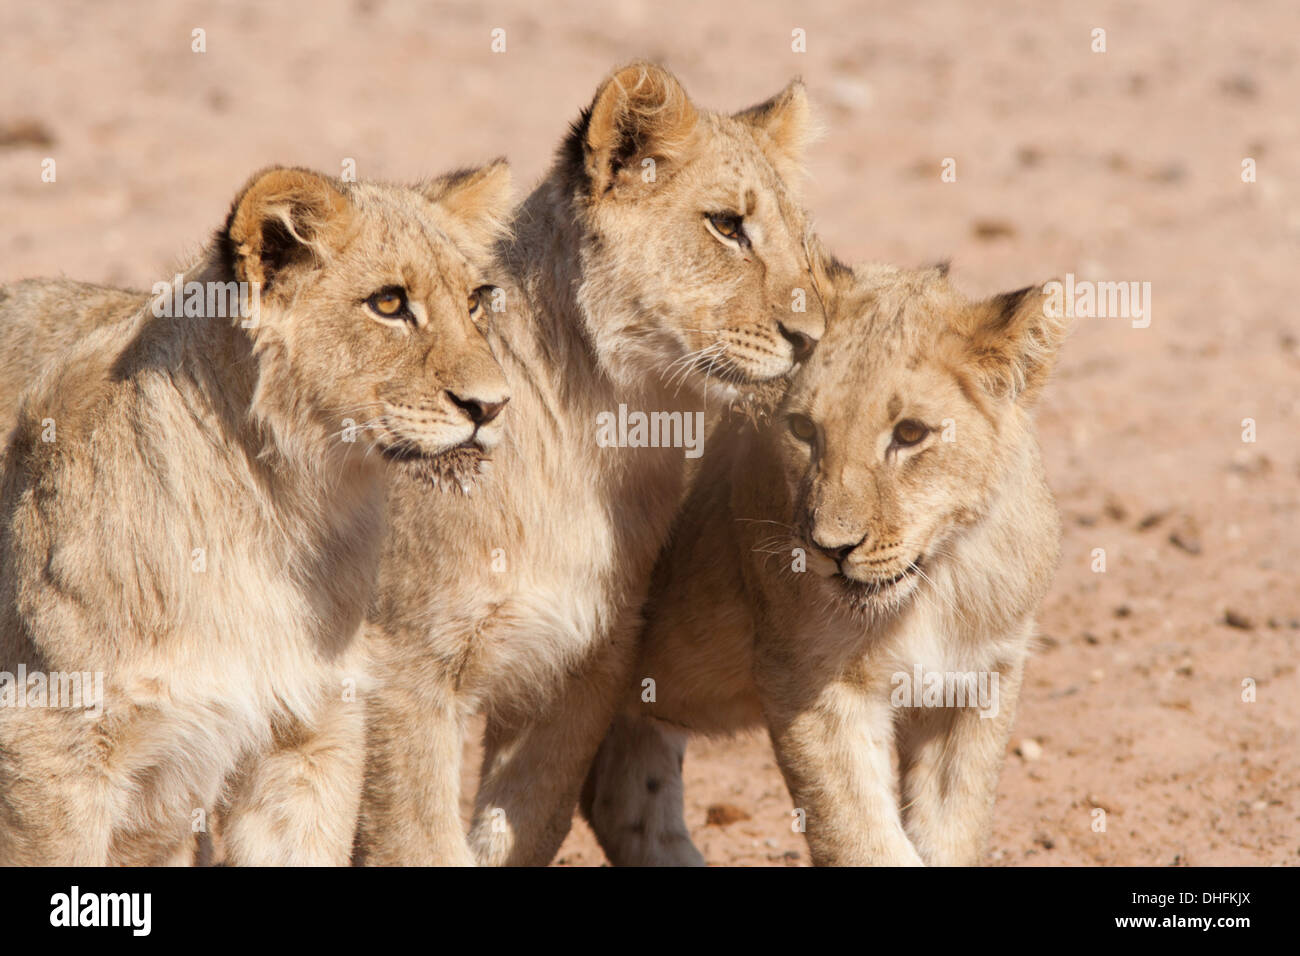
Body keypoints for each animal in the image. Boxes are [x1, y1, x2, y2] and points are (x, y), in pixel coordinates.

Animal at [0, 162, 512, 865]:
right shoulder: (49, 739)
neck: (278, 512)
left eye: (476, 302)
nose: (493, 407)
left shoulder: (309, 735)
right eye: (388, 304)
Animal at [349, 62, 827, 865]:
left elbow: (527, 822)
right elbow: (417, 839)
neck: (601, 431)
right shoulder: (402, 667)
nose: (813, 338)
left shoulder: (583, 661)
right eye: (727, 226)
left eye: (802, 240)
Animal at [581, 261, 1067, 866]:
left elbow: (953, 829)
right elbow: (860, 836)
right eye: (803, 430)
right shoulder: (808, 678)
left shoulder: (979, 680)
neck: (934, 586)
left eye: (910, 434)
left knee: (620, 797)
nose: (832, 548)